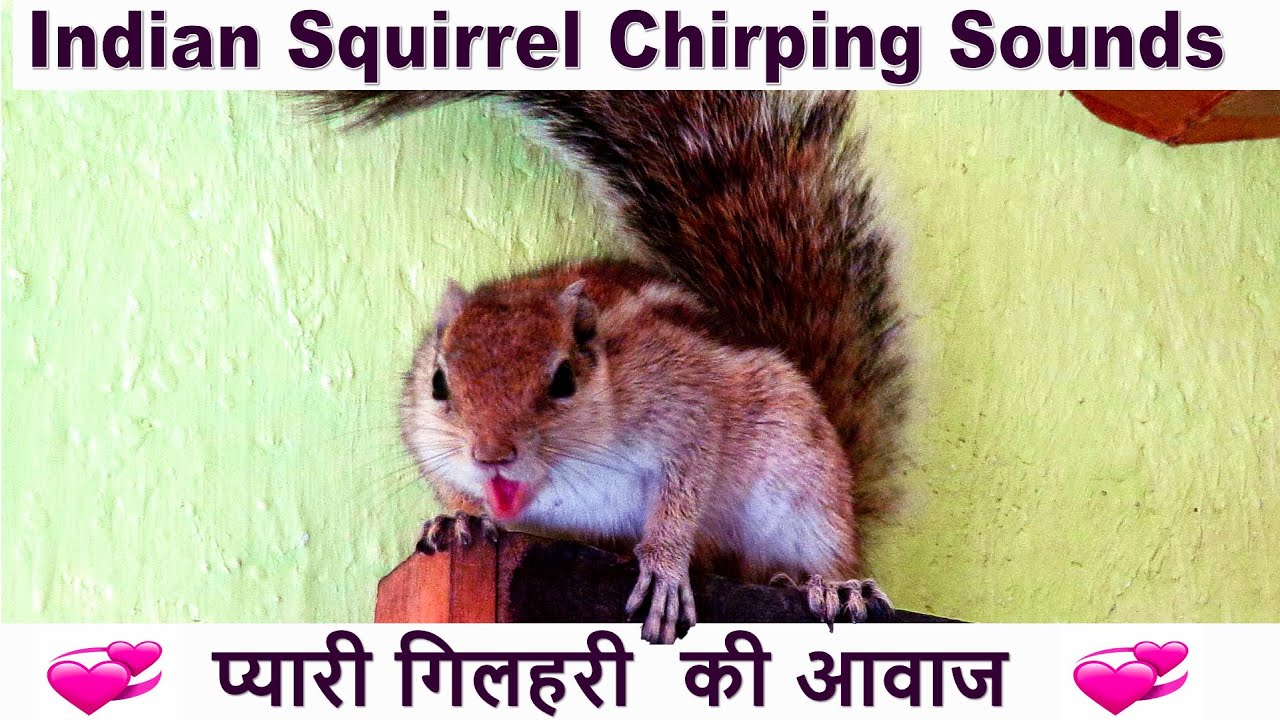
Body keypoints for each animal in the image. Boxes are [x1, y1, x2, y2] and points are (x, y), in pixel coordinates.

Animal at [306, 91, 910, 644]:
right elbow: (446, 483)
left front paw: (664, 566)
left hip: (805, 490)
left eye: (564, 379)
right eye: (437, 383)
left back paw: (830, 585)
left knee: (817, 552)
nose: (491, 456)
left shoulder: (685, 403)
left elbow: (681, 492)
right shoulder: (424, 437)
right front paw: (459, 517)